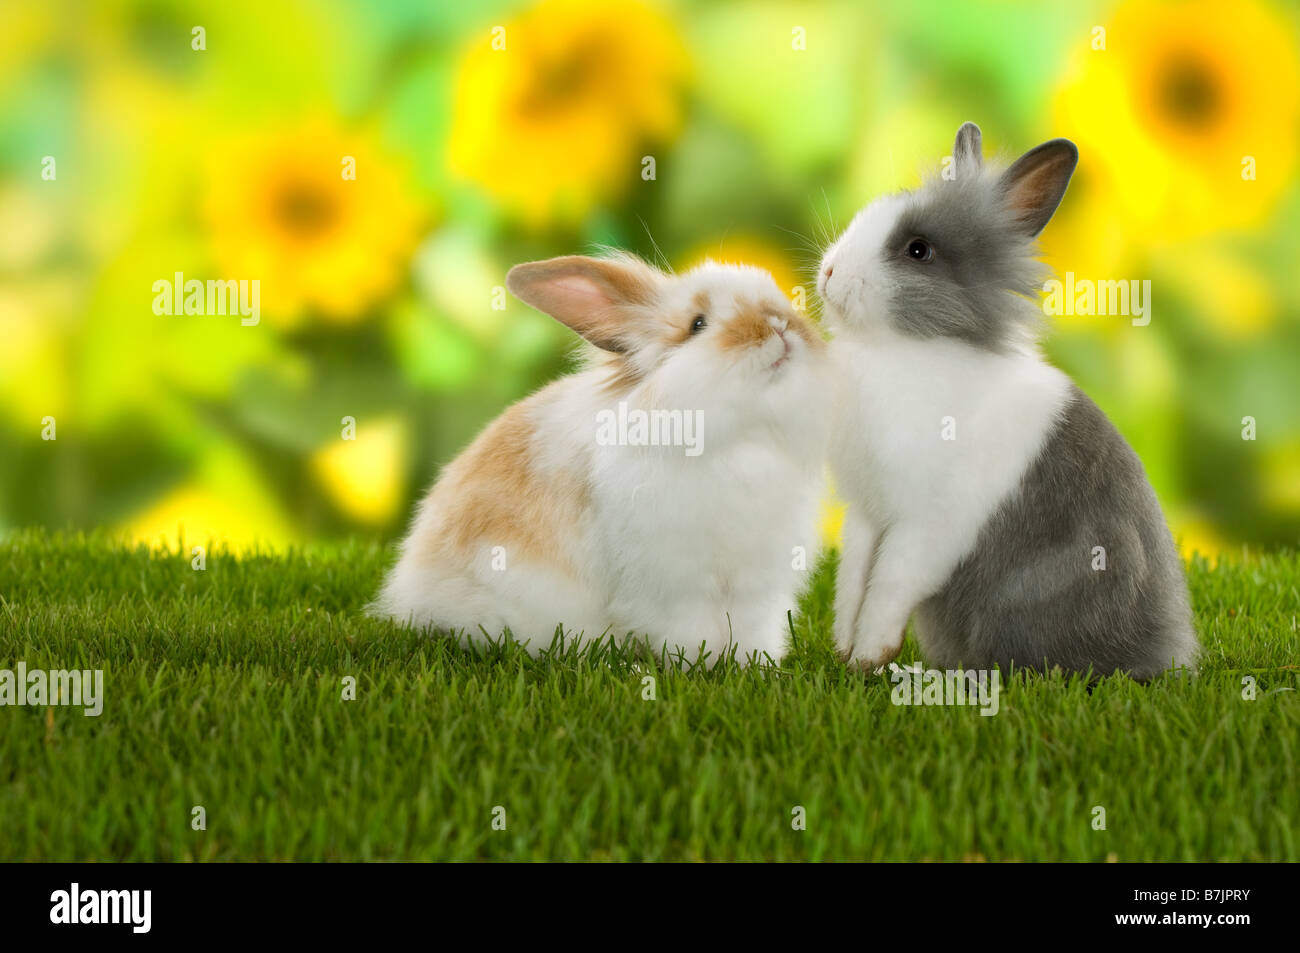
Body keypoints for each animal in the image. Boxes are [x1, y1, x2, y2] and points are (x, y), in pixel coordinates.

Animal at [372, 252, 829, 666]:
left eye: (777, 300)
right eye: (698, 324)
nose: (779, 326)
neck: (742, 439)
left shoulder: (759, 586)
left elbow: (752, 629)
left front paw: (757, 667)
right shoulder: (673, 584)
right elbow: (690, 630)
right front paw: (695, 666)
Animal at [816, 122, 1197, 680]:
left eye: (918, 251)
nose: (828, 272)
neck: (902, 348)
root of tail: (1161, 651)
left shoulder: (926, 526)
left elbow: (887, 587)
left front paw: (869, 658)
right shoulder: (866, 515)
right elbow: (852, 583)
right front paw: (844, 650)